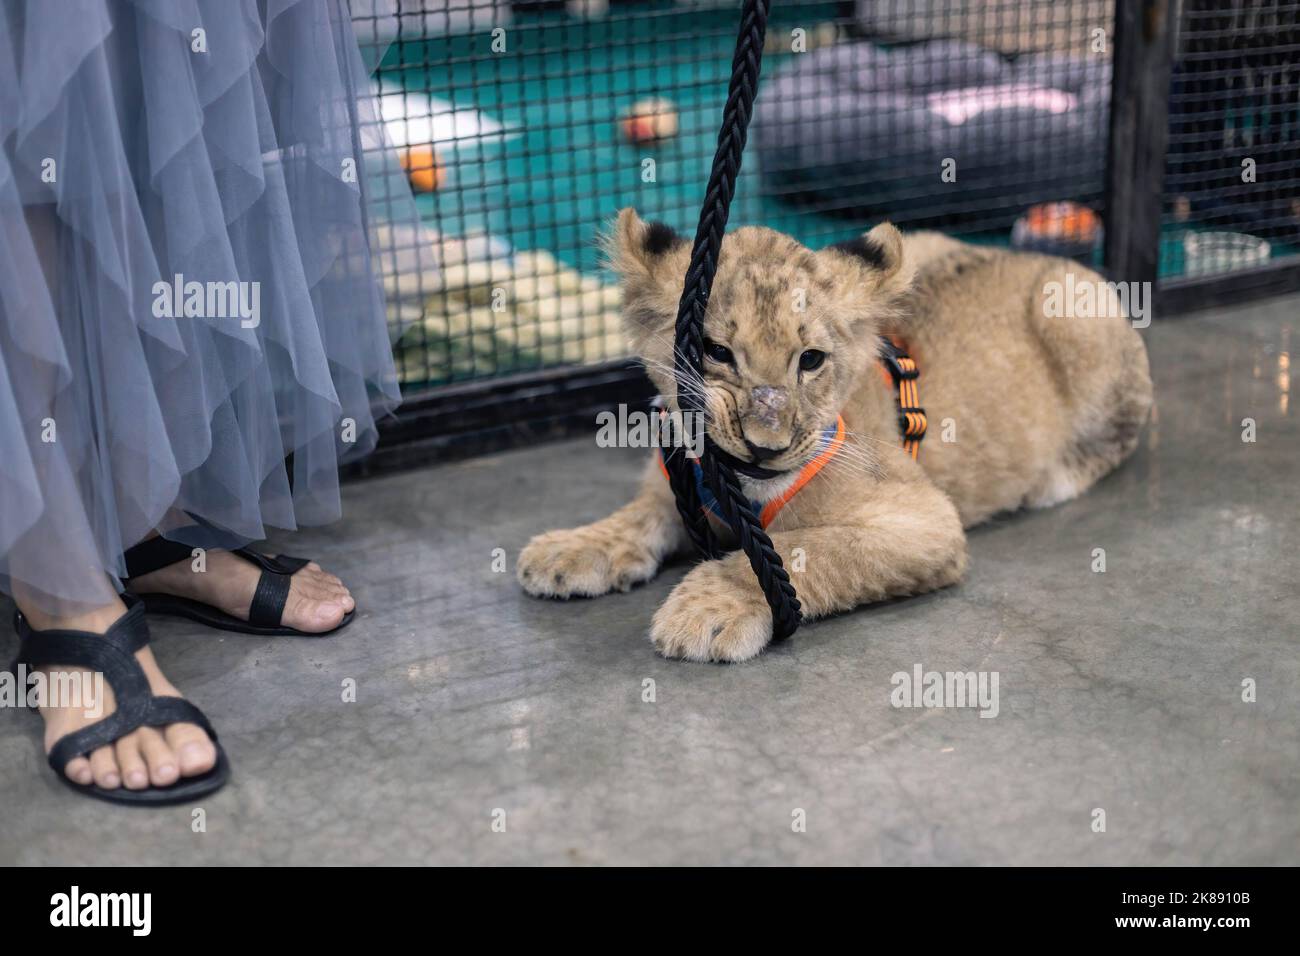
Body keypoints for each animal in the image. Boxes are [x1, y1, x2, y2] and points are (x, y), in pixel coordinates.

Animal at [517, 208, 1153, 662]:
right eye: (716, 352)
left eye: (811, 360)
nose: (765, 447)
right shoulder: (683, 482)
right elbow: (641, 513)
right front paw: (570, 548)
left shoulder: (927, 520)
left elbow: (807, 549)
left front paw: (708, 607)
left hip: (1074, 314)